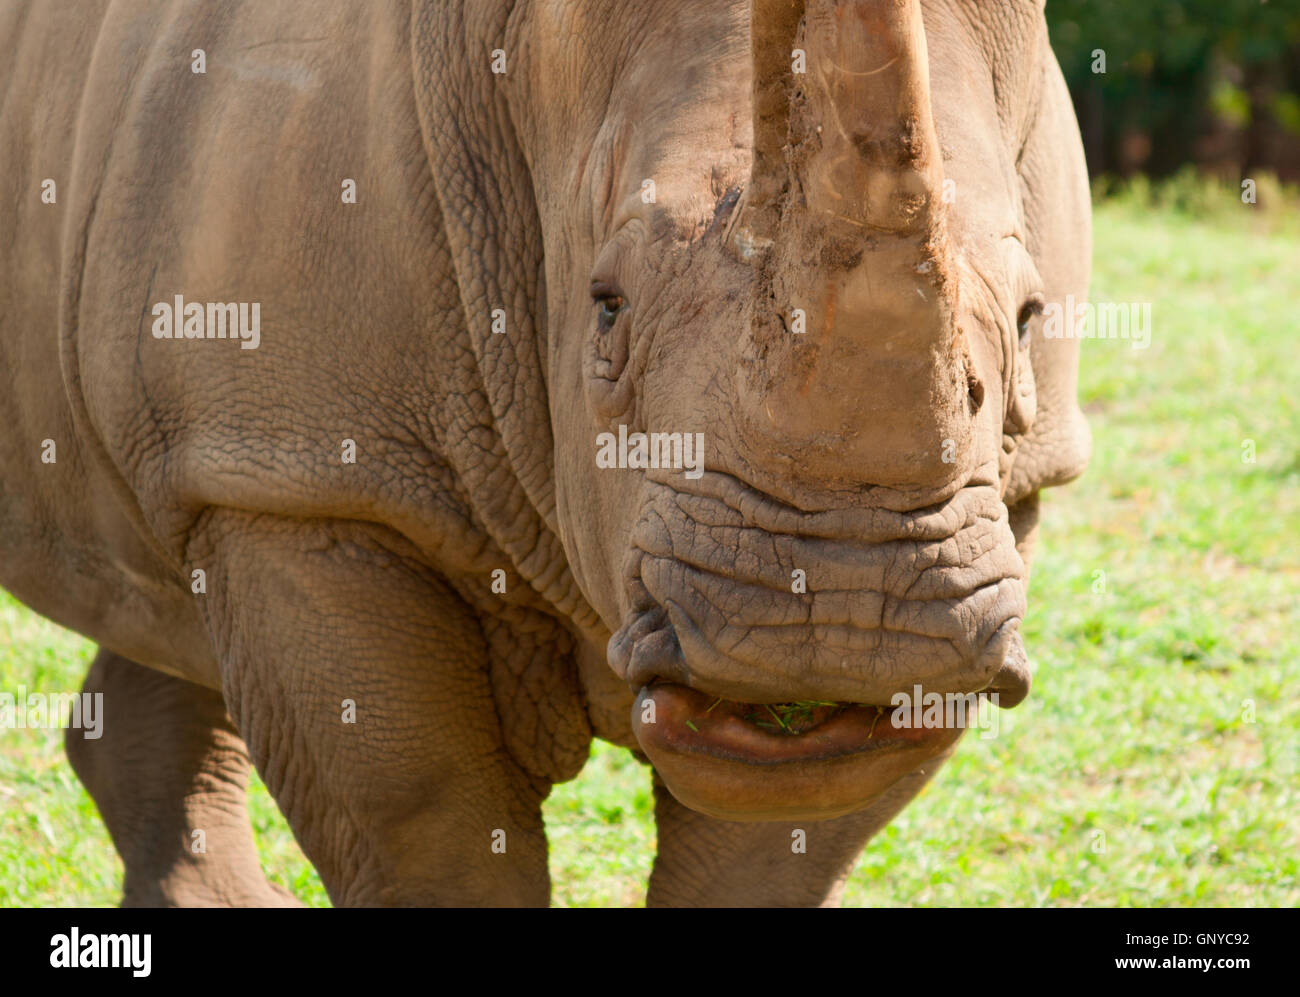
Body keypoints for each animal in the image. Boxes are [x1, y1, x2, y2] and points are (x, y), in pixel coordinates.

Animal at [0, 0, 1090, 907]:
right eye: (604, 308)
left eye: (1030, 316)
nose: (846, 626)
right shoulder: (302, 476)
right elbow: (429, 833)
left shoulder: (1014, 489)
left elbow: (771, 848)